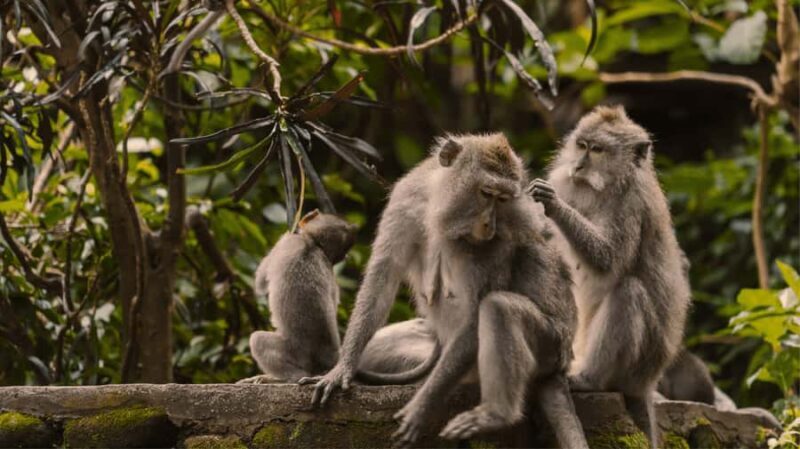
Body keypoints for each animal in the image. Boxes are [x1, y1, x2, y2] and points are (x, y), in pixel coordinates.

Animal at [239, 210, 440, 385]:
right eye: (343, 253)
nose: (348, 256)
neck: (312, 243)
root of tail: (328, 360)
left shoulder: (285, 242)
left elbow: (260, 283)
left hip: (294, 353)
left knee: (257, 340)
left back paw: (286, 378)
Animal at [299, 134, 589, 449]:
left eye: (502, 199)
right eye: (486, 193)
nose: (489, 224)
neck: (438, 204)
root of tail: (560, 367)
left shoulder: (495, 243)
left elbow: (475, 316)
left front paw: (421, 407)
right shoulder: (406, 200)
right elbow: (382, 280)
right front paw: (342, 369)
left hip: (551, 345)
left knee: (499, 308)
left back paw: (495, 414)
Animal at [528, 105, 691, 448]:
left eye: (597, 150)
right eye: (581, 145)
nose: (577, 166)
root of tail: (646, 383)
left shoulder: (631, 204)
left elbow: (607, 260)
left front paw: (554, 205)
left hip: (638, 366)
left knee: (629, 291)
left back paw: (590, 379)